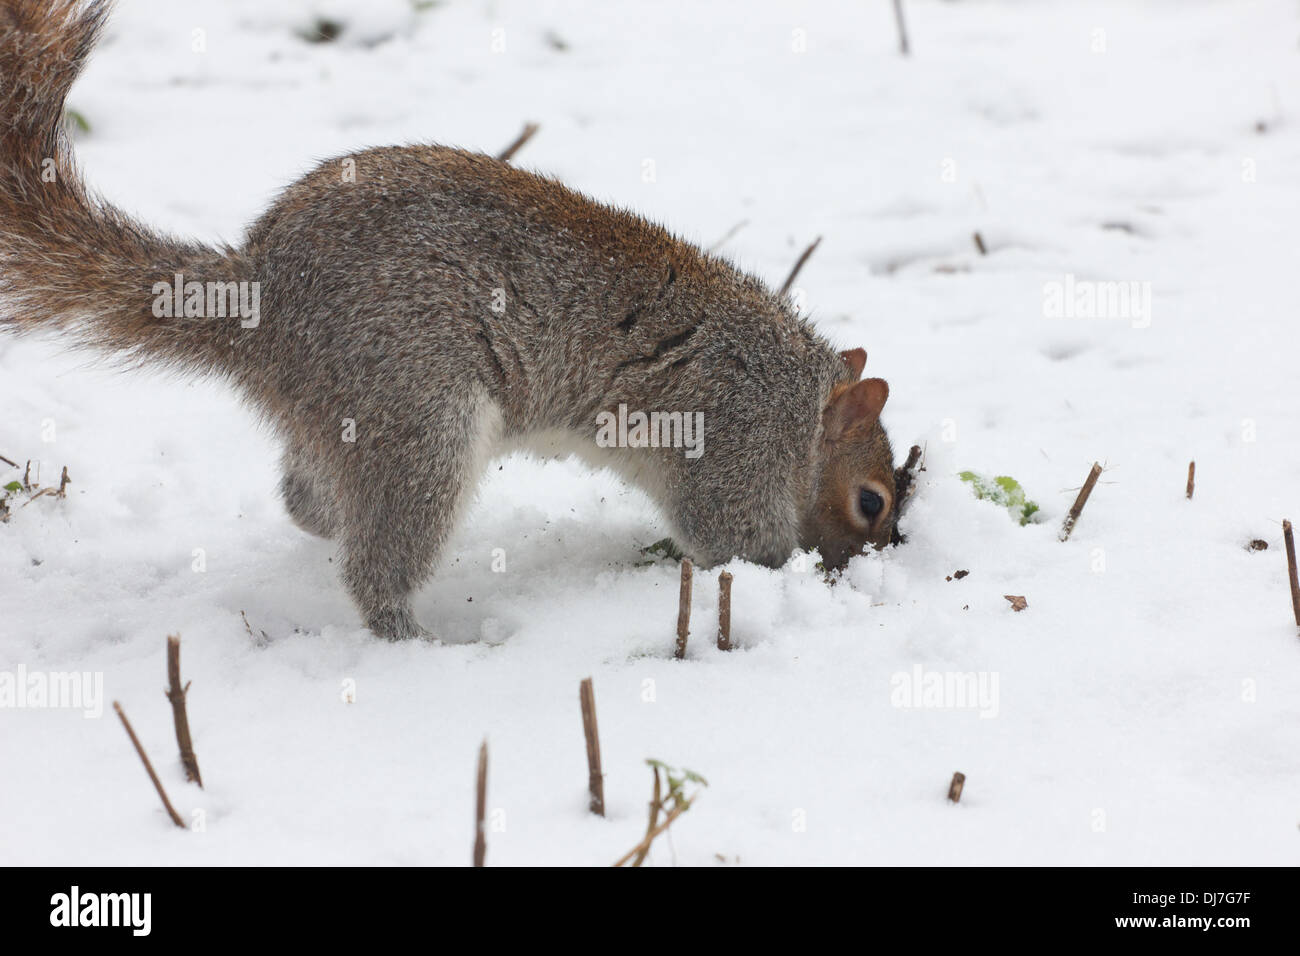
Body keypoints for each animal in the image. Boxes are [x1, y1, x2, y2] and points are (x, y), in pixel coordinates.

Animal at [0, 0, 897, 640]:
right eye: (872, 502)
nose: (874, 563)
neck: (803, 403)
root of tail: (259, 299)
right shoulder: (737, 440)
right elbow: (737, 540)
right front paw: (791, 576)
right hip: (418, 406)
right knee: (379, 560)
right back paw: (418, 638)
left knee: (304, 496)